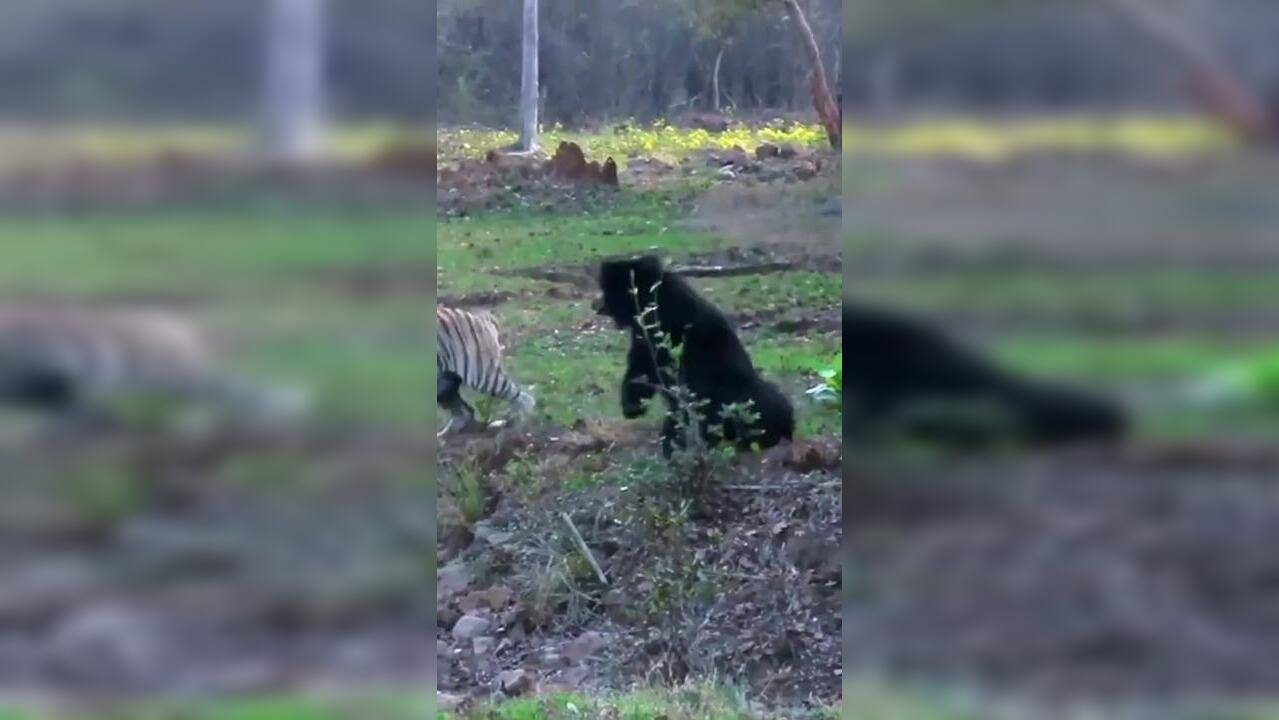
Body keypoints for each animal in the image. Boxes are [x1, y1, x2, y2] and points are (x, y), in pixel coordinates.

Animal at [436, 305, 535, 436]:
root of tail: (481, 318)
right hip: (444, 386)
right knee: (464, 412)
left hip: (482, 376)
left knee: (523, 398)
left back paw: (518, 425)